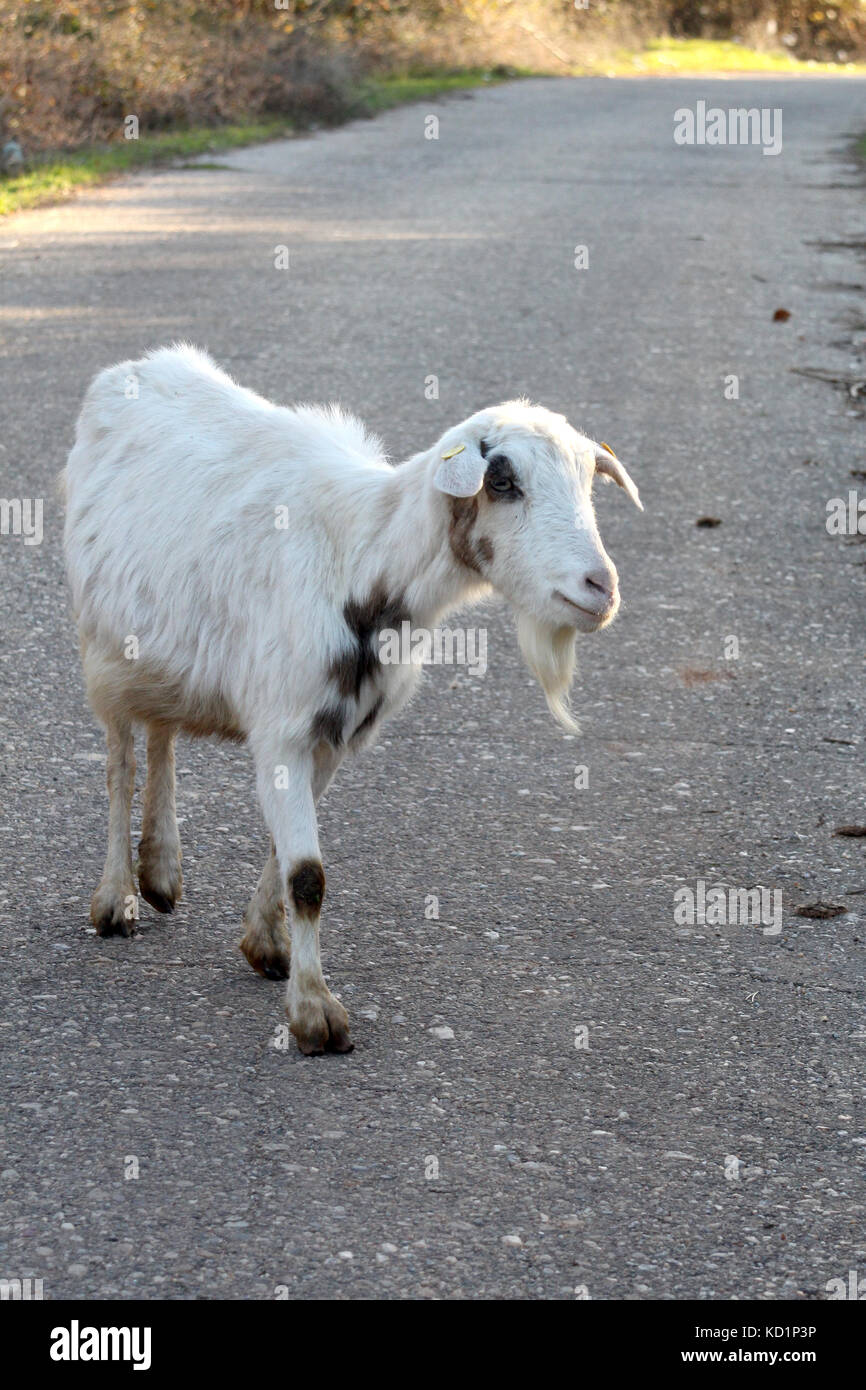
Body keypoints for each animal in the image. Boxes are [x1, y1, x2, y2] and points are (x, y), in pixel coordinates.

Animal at [63, 345, 642, 1055]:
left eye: (589, 481)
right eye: (504, 482)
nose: (599, 588)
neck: (361, 557)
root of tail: (138, 367)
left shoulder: (336, 733)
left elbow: (288, 853)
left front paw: (267, 946)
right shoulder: (285, 728)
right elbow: (308, 875)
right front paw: (315, 1013)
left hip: (162, 647)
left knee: (162, 733)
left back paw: (161, 871)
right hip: (103, 649)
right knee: (120, 763)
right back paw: (117, 898)